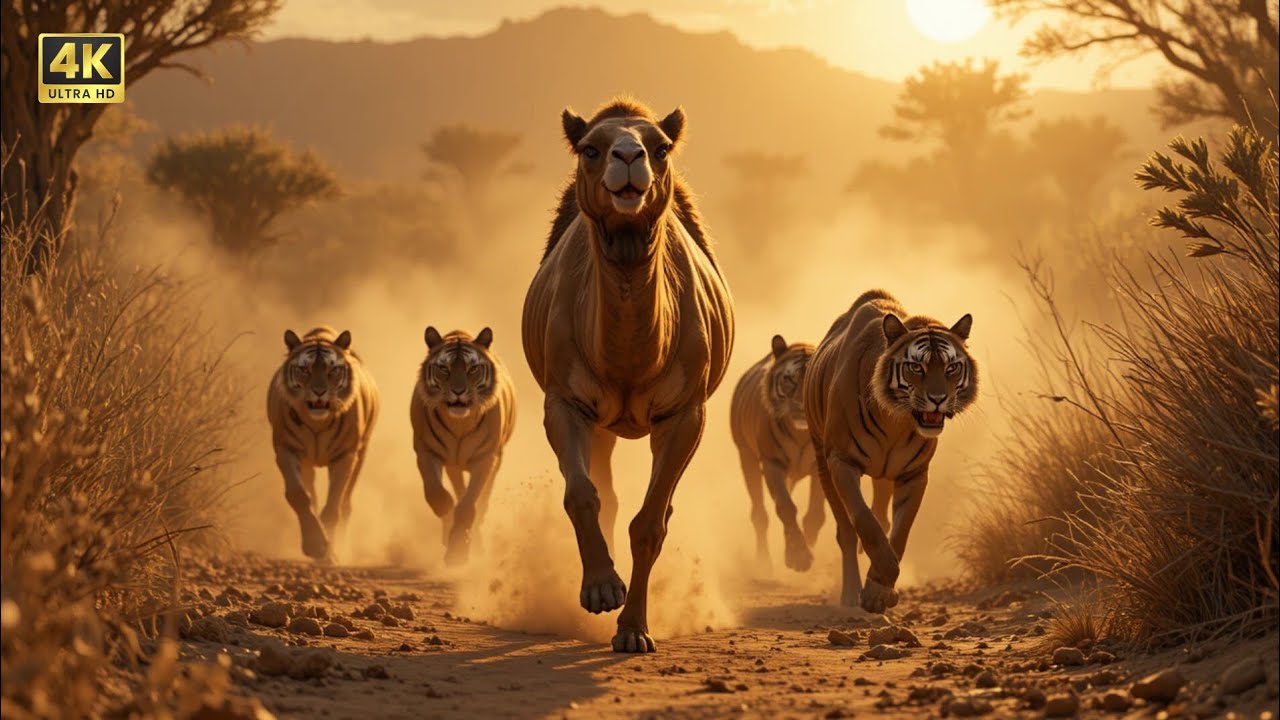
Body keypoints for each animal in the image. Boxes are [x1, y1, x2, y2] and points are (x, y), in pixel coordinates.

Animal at [267, 326, 379, 562]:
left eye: (333, 370)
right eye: (304, 369)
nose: (319, 392)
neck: (316, 421)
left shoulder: (345, 455)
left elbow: (333, 505)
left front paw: (330, 550)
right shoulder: (286, 449)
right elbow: (299, 495)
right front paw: (315, 545)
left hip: (361, 454)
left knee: (346, 502)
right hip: (308, 463)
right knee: (312, 493)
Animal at [411, 326, 516, 566]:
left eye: (473, 368)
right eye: (444, 368)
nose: (458, 391)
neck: (459, 422)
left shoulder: (486, 458)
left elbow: (469, 506)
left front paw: (458, 551)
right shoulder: (425, 451)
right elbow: (439, 496)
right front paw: (449, 533)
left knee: (481, 503)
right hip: (454, 464)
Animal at [522, 98, 734, 653]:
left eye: (660, 148)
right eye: (589, 149)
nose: (628, 158)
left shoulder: (686, 413)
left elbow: (651, 525)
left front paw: (634, 629)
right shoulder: (566, 402)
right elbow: (582, 494)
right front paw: (601, 590)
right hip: (603, 425)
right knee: (607, 493)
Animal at [730, 334, 823, 572]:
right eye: (789, 379)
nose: (801, 405)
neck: (801, 433)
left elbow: (815, 514)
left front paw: (807, 548)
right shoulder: (772, 463)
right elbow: (786, 507)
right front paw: (798, 557)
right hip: (747, 457)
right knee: (759, 515)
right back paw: (764, 565)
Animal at [803, 289, 976, 613]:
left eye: (951, 367)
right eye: (916, 367)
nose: (938, 398)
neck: (896, 420)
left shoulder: (914, 474)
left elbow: (900, 530)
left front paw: (881, 591)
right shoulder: (841, 461)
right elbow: (864, 521)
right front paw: (874, 587)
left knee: (882, 517)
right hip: (823, 462)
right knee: (846, 531)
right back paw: (849, 595)